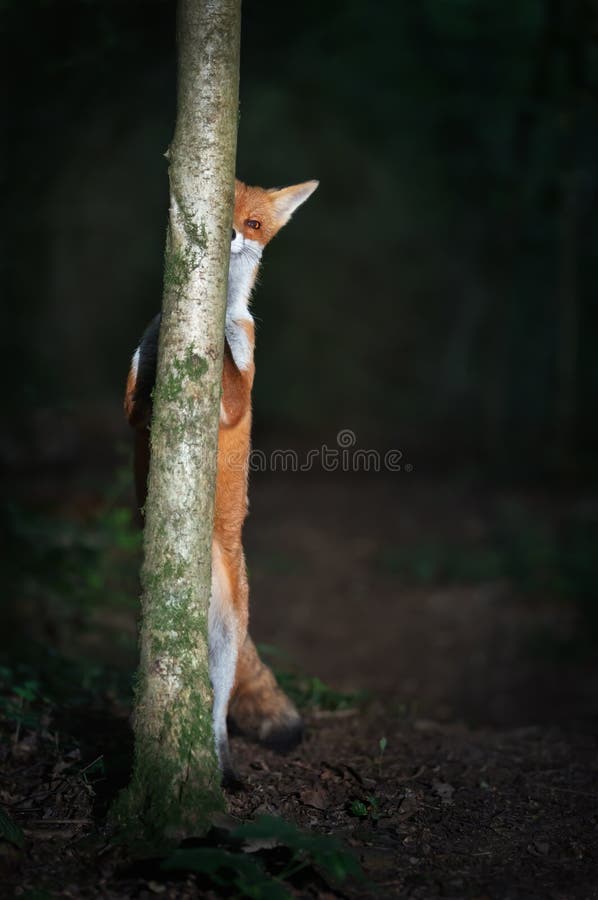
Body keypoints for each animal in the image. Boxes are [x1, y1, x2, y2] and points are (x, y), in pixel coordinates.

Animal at [124, 177, 319, 781]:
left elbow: (232, 369)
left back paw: (222, 766)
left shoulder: (239, 388)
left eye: (253, 223)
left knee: (218, 702)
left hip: (228, 634)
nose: (231, 234)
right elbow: (138, 392)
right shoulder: (133, 400)